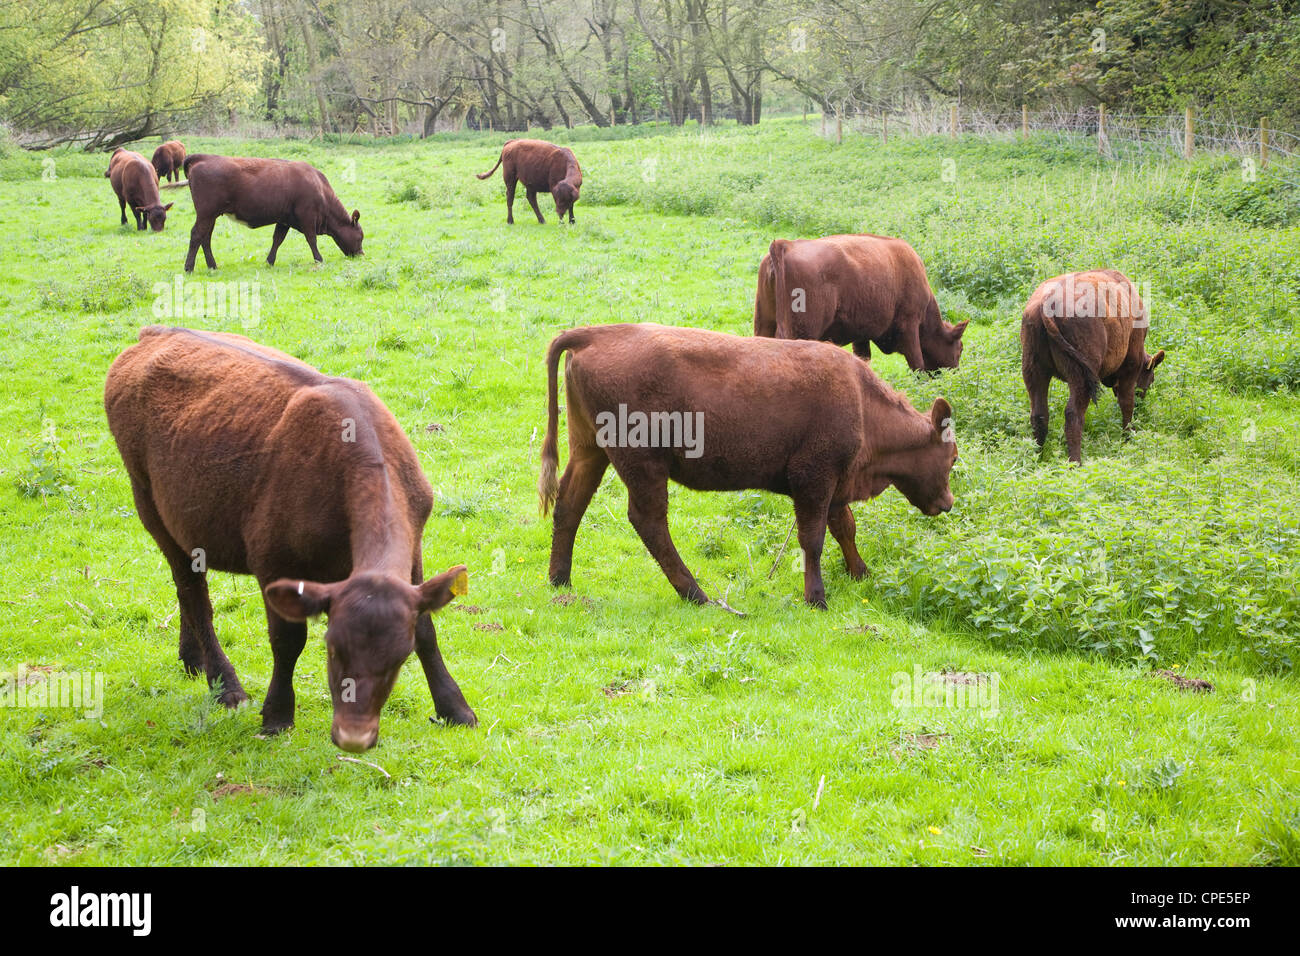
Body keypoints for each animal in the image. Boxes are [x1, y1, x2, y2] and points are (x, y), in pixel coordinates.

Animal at [104, 326, 477, 751]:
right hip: (149, 502)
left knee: (187, 590)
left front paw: (454, 707)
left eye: (398, 658)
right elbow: (288, 640)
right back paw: (226, 685)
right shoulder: (273, 560)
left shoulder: (413, 550)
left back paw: (193, 660)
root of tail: (157, 331)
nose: (354, 736)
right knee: (193, 593)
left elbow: (427, 630)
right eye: (332, 649)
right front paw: (277, 715)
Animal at [181, 154, 363, 272]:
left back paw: (212, 265)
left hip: (210, 215)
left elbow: (277, 239)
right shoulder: (308, 216)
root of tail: (204, 157)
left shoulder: (284, 220)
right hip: (206, 213)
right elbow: (311, 239)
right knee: (197, 234)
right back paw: (189, 267)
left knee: (206, 237)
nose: (361, 254)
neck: (319, 188)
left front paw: (270, 261)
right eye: (360, 237)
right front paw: (319, 259)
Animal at [538, 324, 958, 609]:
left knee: (570, 503)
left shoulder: (834, 484)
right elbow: (814, 539)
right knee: (649, 521)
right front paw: (816, 598)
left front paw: (861, 573)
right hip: (643, 466)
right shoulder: (814, 479)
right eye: (952, 457)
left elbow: (845, 528)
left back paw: (560, 580)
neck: (860, 398)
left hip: (590, 449)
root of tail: (597, 334)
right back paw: (696, 594)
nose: (948, 503)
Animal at [754, 234, 967, 372]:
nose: (955, 373)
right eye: (960, 348)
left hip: (764, 323)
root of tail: (784, 246)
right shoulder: (910, 324)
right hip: (802, 331)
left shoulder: (861, 335)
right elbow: (918, 364)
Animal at [1021, 270, 1165, 464]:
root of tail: (1046, 302)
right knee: (1073, 414)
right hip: (1079, 376)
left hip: (1034, 369)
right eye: (1150, 380)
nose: (1142, 407)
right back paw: (1076, 462)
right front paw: (1127, 438)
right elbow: (1126, 402)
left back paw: (1039, 457)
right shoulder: (1131, 367)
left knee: (1039, 414)